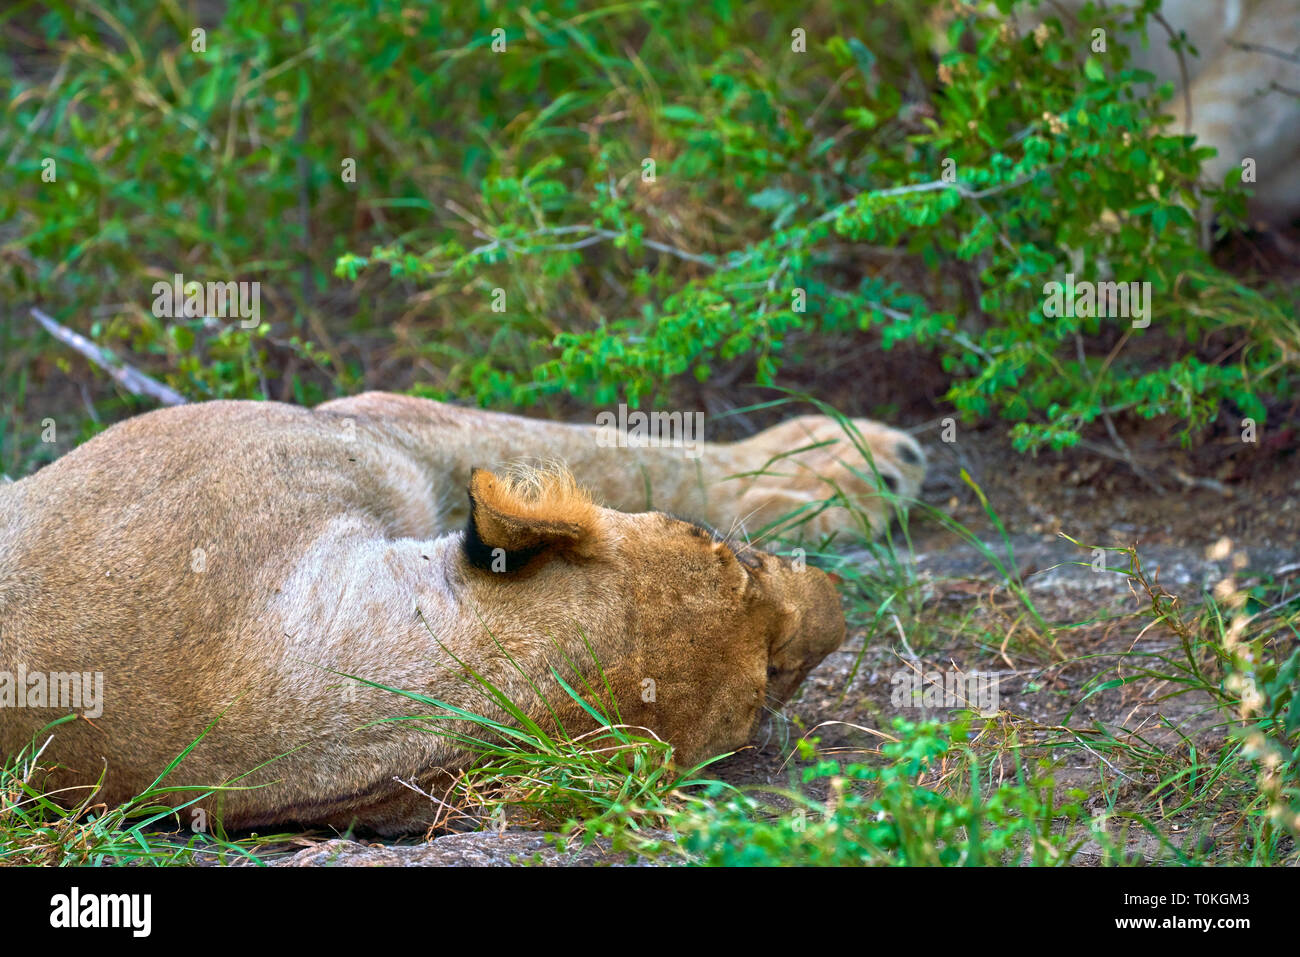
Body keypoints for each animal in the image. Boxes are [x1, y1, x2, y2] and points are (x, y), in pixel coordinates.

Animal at [0, 394, 923, 833]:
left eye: (776, 680)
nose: (839, 611)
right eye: (725, 554)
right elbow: (611, 447)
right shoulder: (359, 421)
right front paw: (851, 469)